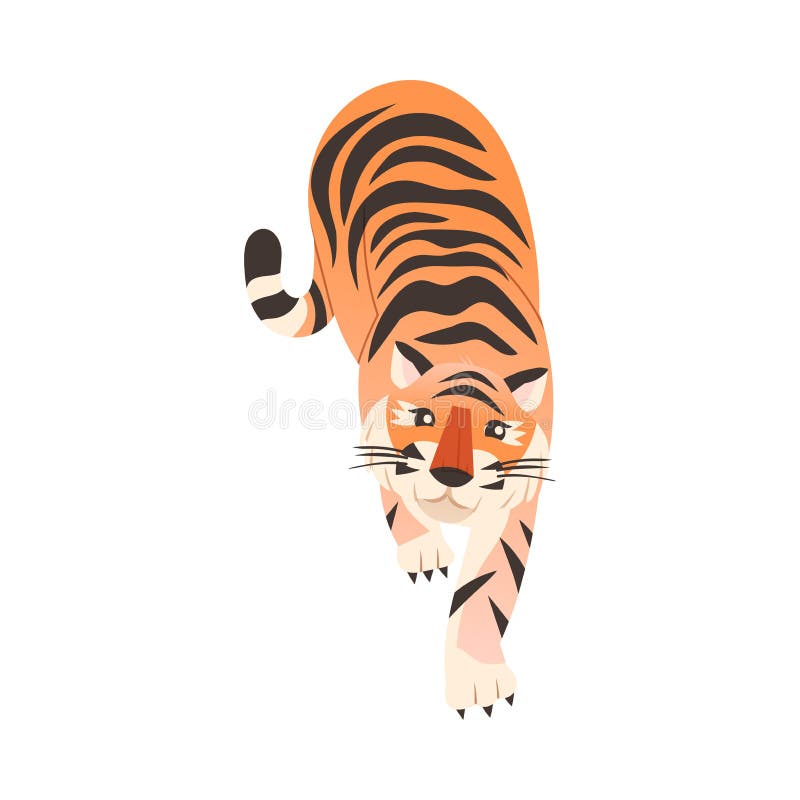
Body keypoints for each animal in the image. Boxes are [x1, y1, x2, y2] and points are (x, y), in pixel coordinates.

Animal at [244, 80, 552, 717]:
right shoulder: (376, 421)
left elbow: (488, 586)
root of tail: (392, 85)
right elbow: (391, 485)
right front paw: (421, 548)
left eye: (497, 431)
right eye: (424, 417)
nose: (453, 475)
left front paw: (478, 679)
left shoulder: (518, 495)